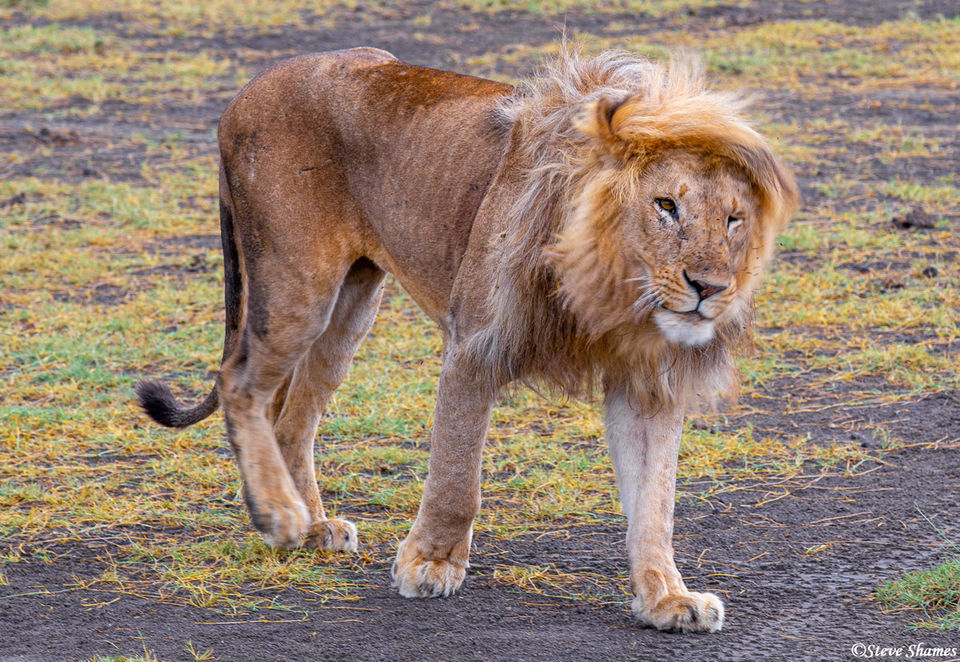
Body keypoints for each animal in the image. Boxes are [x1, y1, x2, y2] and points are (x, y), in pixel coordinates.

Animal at [136, 47, 797, 633]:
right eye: (666, 206)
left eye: (734, 219)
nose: (710, 287)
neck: (613, 290)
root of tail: (246, 90)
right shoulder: (474, 343)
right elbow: (457, 475)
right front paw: (430, 564)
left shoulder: (647, 385)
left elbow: (655, 505)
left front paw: (668, 600)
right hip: (297, 283)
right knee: (240, 382)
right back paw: (278, 516)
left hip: (350, 308)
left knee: (290, 417)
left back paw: (313, 526)